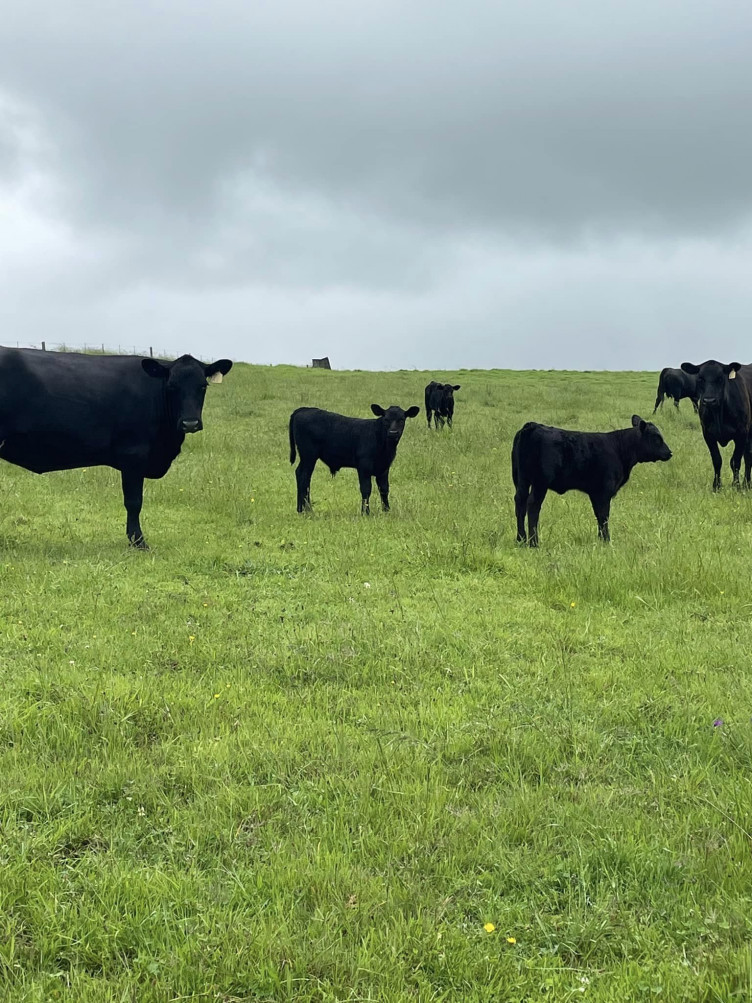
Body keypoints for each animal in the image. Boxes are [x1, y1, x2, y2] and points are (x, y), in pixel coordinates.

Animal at [0, 348, 233, 547]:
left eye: (203, 386)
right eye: (171, 387)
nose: (190, 423)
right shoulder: (133, 454)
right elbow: (134, 501)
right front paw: (138, 541)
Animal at [289, 404, 420, 514]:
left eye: (401, 419)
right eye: (386, 419)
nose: (393, 432)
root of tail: (304, 409)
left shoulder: (384, 468)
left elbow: (384, 489)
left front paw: (386, 511)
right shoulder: (364, 467)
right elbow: (366, 489)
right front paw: (365, 512)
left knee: (300, 475)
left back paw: (300, 509)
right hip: (309, 456)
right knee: (304, 477)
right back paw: (307, 510)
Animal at [512, 415, 672, 546]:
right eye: (656, 437)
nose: (670, 453)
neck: (619, 448)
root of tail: (532, 426)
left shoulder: (595, 493)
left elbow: (598, 515)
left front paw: (601, 539)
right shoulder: (605, 491)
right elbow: (604, 515)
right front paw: (607, 540)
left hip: (521, 480)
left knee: (520, 502)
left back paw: (521, 539)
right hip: (540, 483)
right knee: (533, 505)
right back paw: (534, 543)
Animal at [680, 360, 752, 491]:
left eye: (720, 378)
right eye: (700, 378)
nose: (709, 401)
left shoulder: (741, 434)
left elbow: (735, 461)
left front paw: (736, 485)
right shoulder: (708, 435)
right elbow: (717, 460)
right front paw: (716, 486)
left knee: (748, 457)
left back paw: (746, 484)